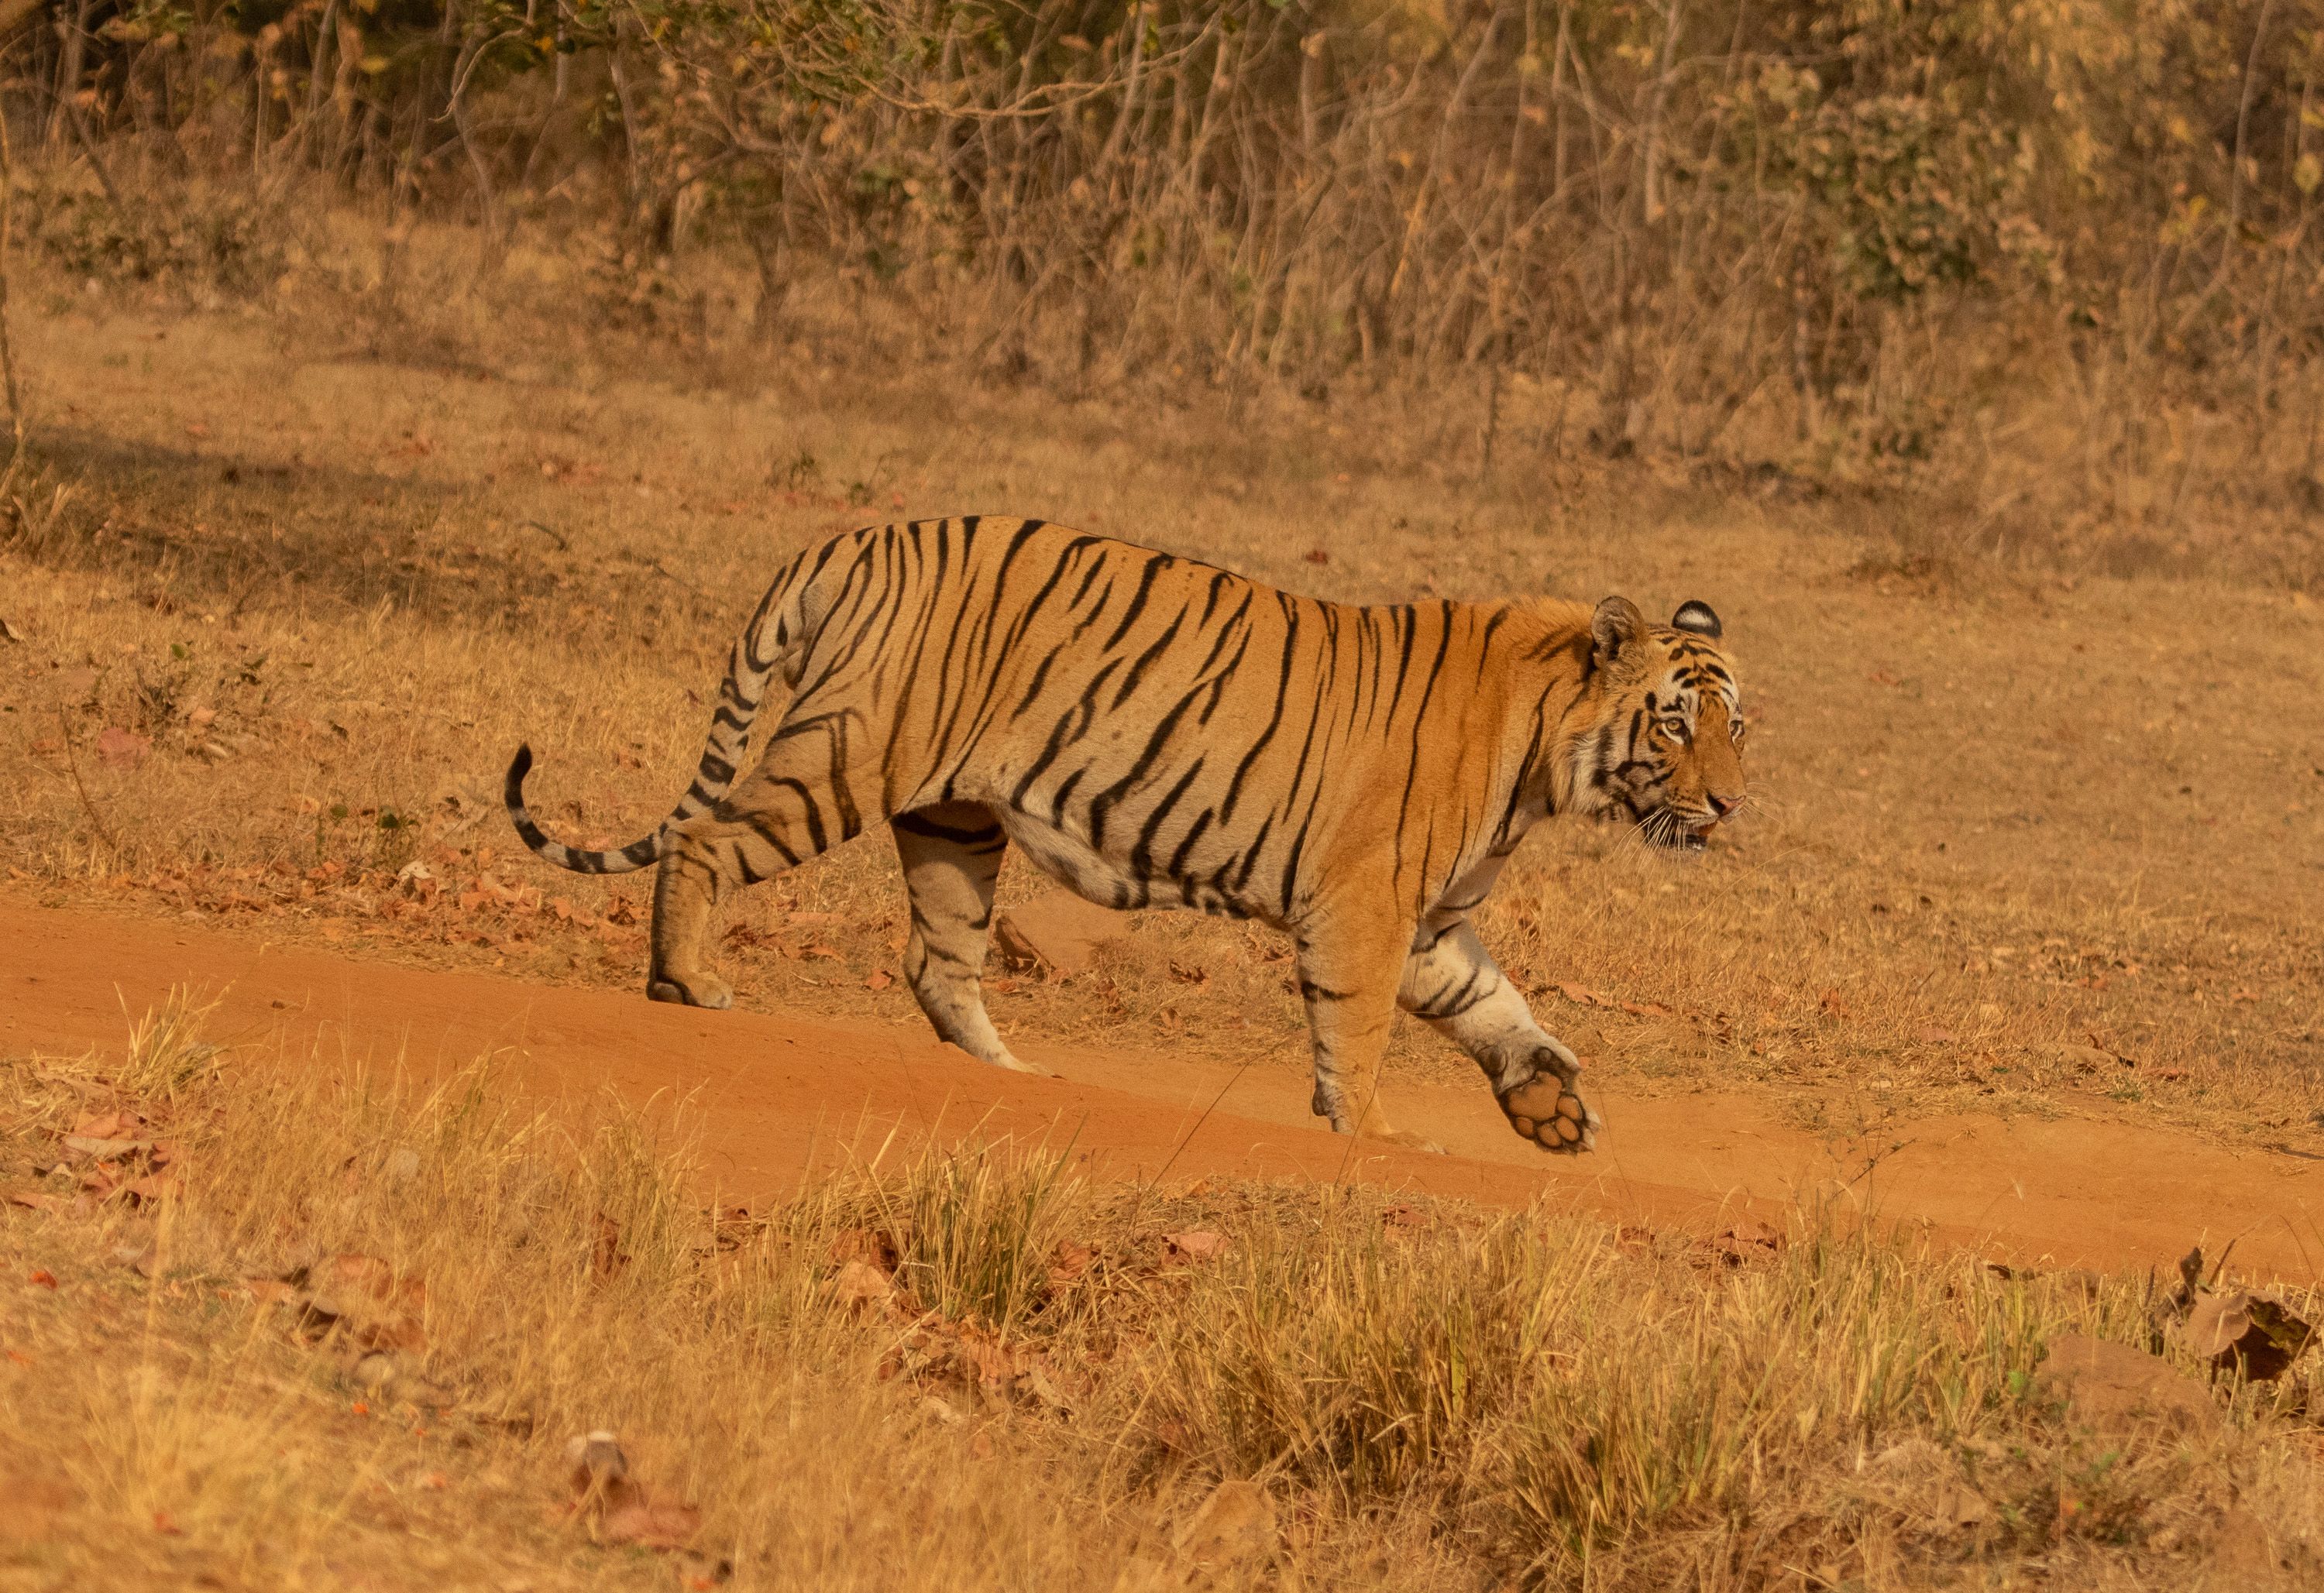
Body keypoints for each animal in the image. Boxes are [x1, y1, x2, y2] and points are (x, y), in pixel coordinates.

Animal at [504, 517, 1745, 1155]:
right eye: (1677, 724)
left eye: (1739, 725)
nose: (1733, 805)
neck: (1545, 757)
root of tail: (855, 534)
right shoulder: (1367, 906)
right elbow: (1362, 1030)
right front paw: (1374, 1130)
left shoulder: (1430, 919)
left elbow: (1495, 1004)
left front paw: (1551, 1104)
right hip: (849, 758)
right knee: (703, 841)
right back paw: (687, 982)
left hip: (954, 822)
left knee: (934, 961)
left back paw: (1016, 1075)